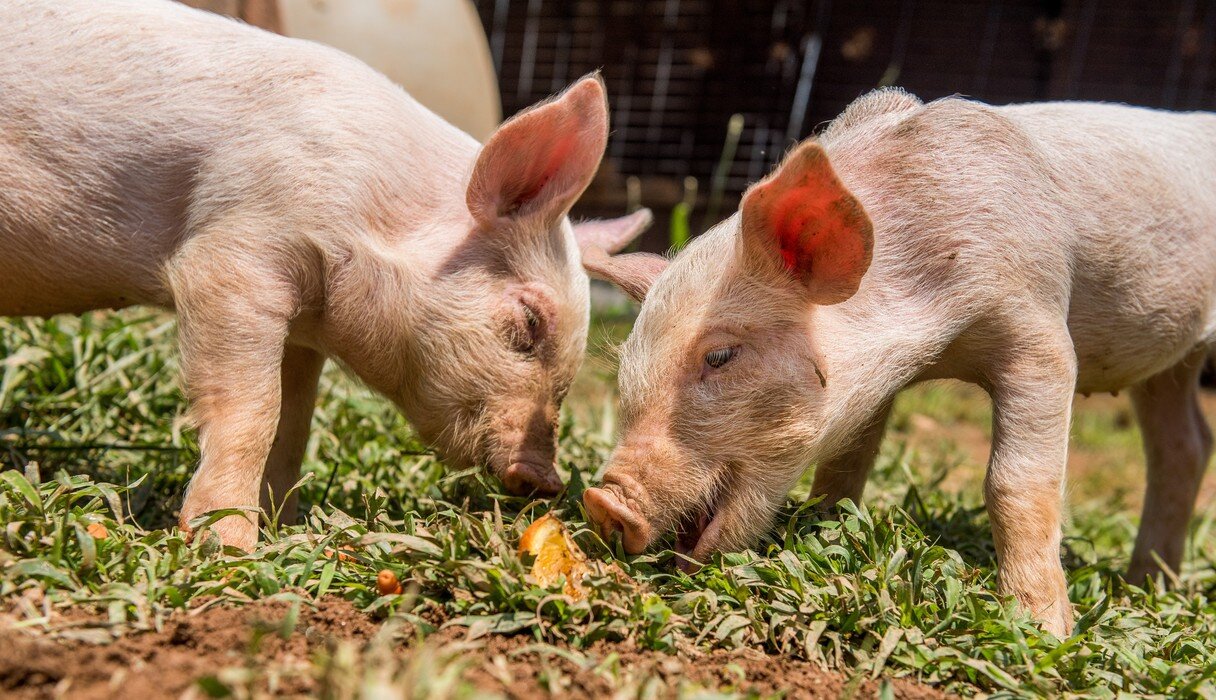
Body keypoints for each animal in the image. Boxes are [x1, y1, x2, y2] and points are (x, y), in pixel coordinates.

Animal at [0, 0, 651, 550]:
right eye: (530, 322)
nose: (545, 480)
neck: (372, 216)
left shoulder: (302, 330)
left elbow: (293, 424)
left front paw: (284, 525)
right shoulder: (233, 255)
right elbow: (253, 409)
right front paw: (227, 545)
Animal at [581, 87, 1216, 637]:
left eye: (719, 355)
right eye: (628, 363)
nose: (603, 501)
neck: (941, 346)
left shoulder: (1039, 329)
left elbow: (1016, 483)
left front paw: (1044, 630)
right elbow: (845, 463)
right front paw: (828, 526)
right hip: (1169, 366)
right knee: (1184, 446)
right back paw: (1146, 584)